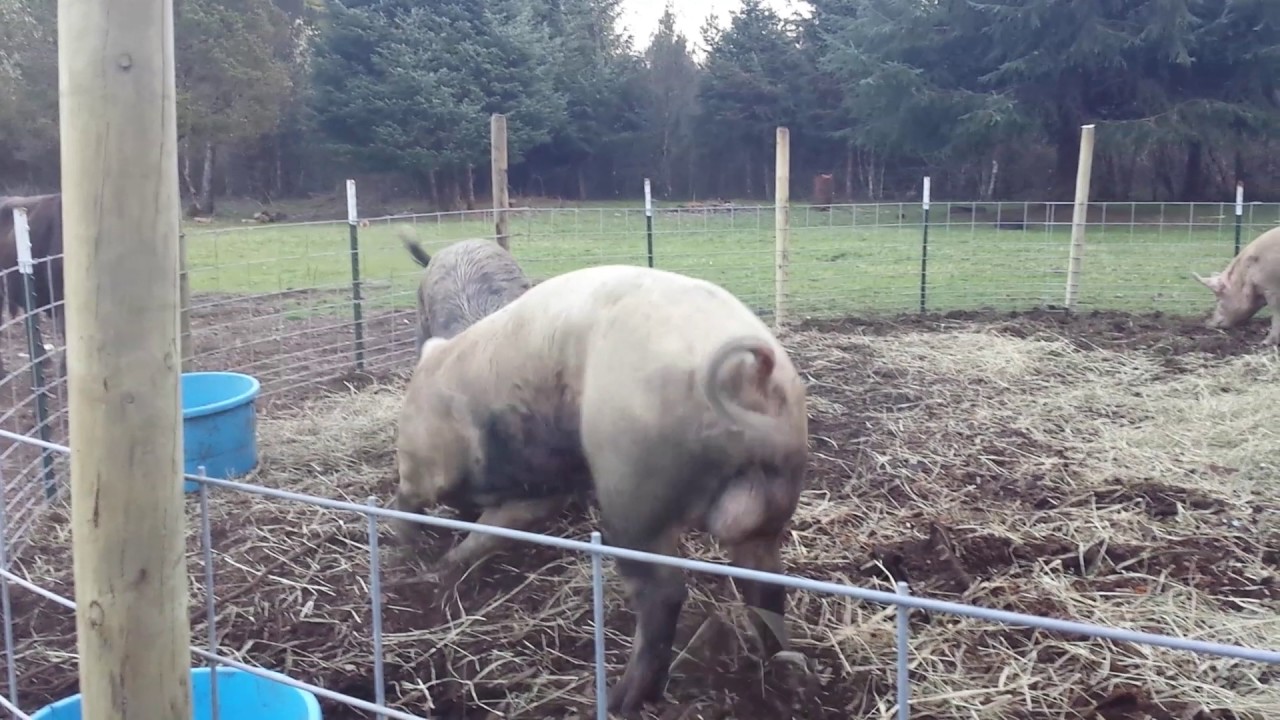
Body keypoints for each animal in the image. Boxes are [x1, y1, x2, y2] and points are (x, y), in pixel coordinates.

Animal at [393, 264, 809, 714]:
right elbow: (492, 529)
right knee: (765, 583)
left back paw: (617, 700)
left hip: (631, 492)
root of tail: (754, 376)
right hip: (771, 503)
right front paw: (438, 567)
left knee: (664, 595)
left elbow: (425, 507)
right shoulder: (540, 492)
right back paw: (778, 664)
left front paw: (415, 563)